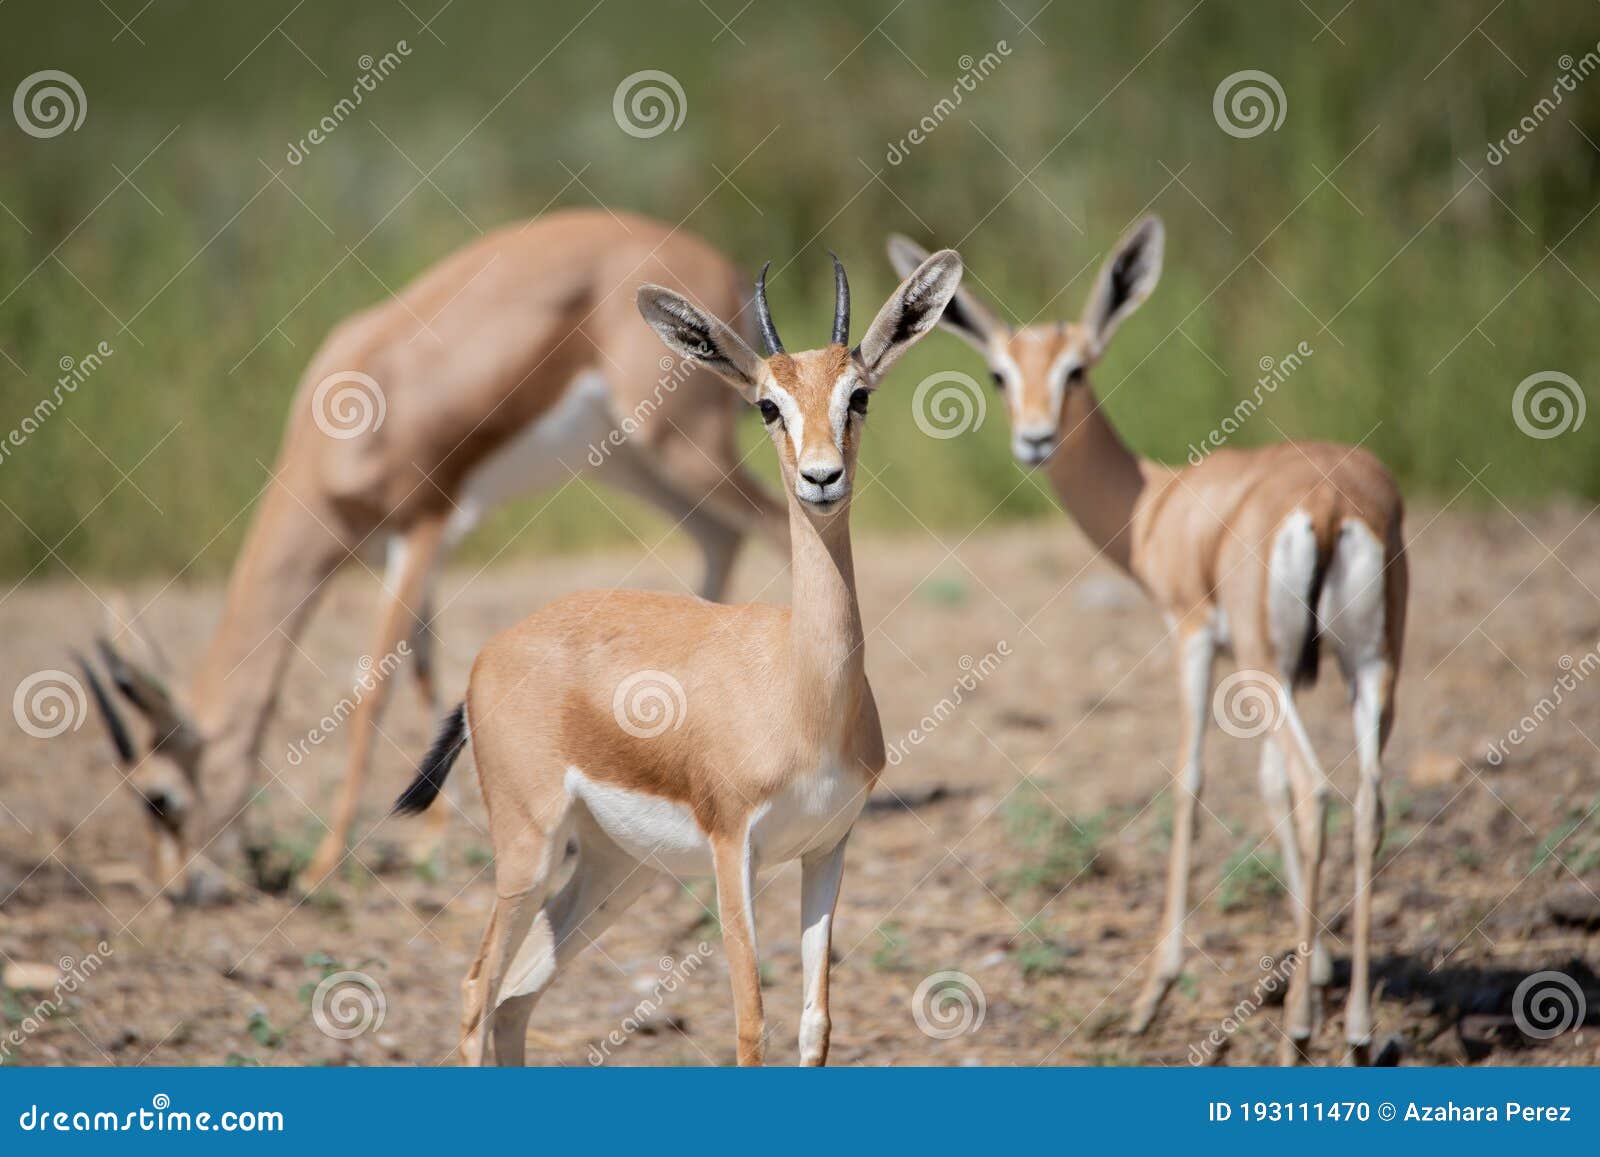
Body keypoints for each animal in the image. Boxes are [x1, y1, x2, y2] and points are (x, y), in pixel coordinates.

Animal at [77, 209, 789, 901]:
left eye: (160, 799)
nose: (176, 890)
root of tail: (718, 263)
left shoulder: (422, 527)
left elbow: (372, 689)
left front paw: (323, 866)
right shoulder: (420, 553)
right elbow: (425, 673)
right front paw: (429, 841)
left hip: (681, 445)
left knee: (781, 523)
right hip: (631, 463)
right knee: (720, 536)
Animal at [392, 247, 966, 1066]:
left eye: (858, 394)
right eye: (767, 406)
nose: (822, 477)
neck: (803, 693)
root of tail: (490, 656)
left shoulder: (828, 847)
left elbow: (816, 1023)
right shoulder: (735, 850)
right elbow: (751, 1019)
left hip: (615, 869)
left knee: (516, 996)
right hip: (530, 851)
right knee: (476, 991)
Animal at [889, 219, 1407, 1064]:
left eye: (1075, 368)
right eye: (1000, 374)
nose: (1035, 439)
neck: (1158, 503)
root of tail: (1329, 501)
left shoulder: (1193, 638)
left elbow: (1190, 781)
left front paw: (1154, 993)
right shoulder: (1280, 674)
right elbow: (1265, 787)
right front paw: (1319, 963)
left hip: (1273, 666)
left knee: (1316, 789)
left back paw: (1300, 1027)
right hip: (1369, 667)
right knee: (1364, 797)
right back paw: (1357, 1028)